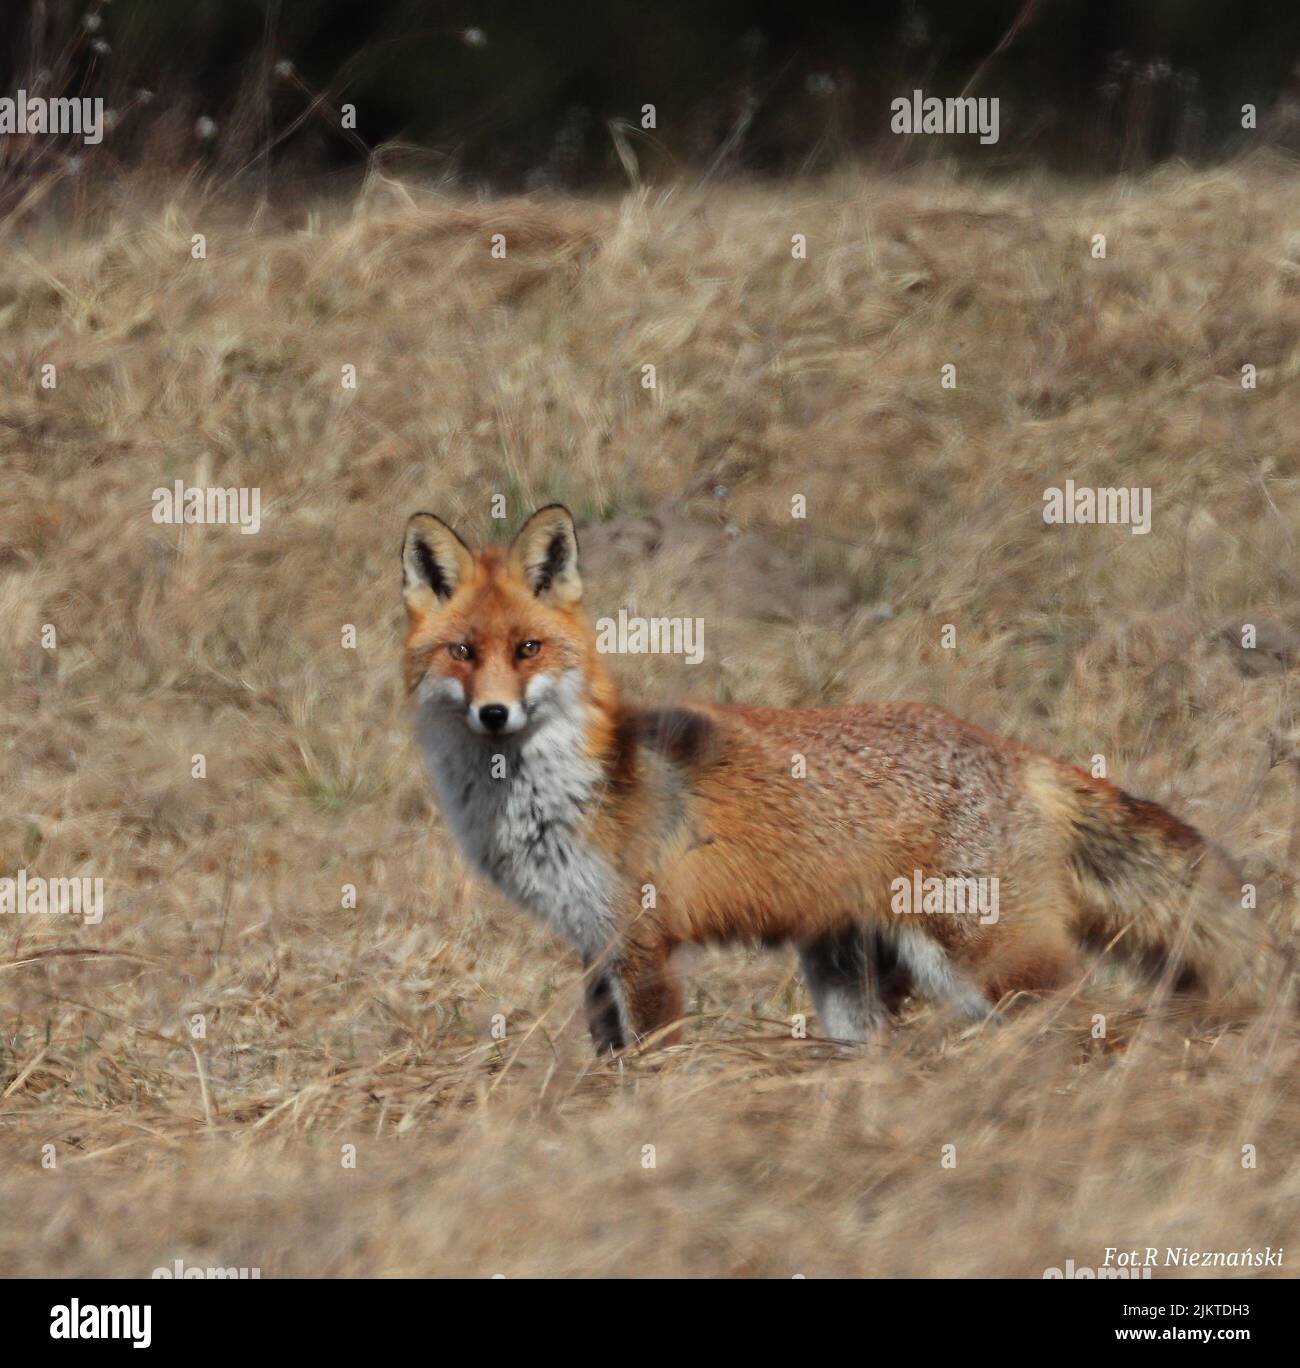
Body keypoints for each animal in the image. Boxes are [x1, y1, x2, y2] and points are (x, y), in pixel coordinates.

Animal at [402, 504, 1282, 1053]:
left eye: (527, 650)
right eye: (462, 653)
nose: (493, 716)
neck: (552, 799)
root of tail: (1012, 750)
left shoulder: (643, 943)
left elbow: (653, 1055)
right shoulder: (592, 943)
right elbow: (608, 1052)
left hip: (985, 957)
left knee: (1084, 1020)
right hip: (849, 981)